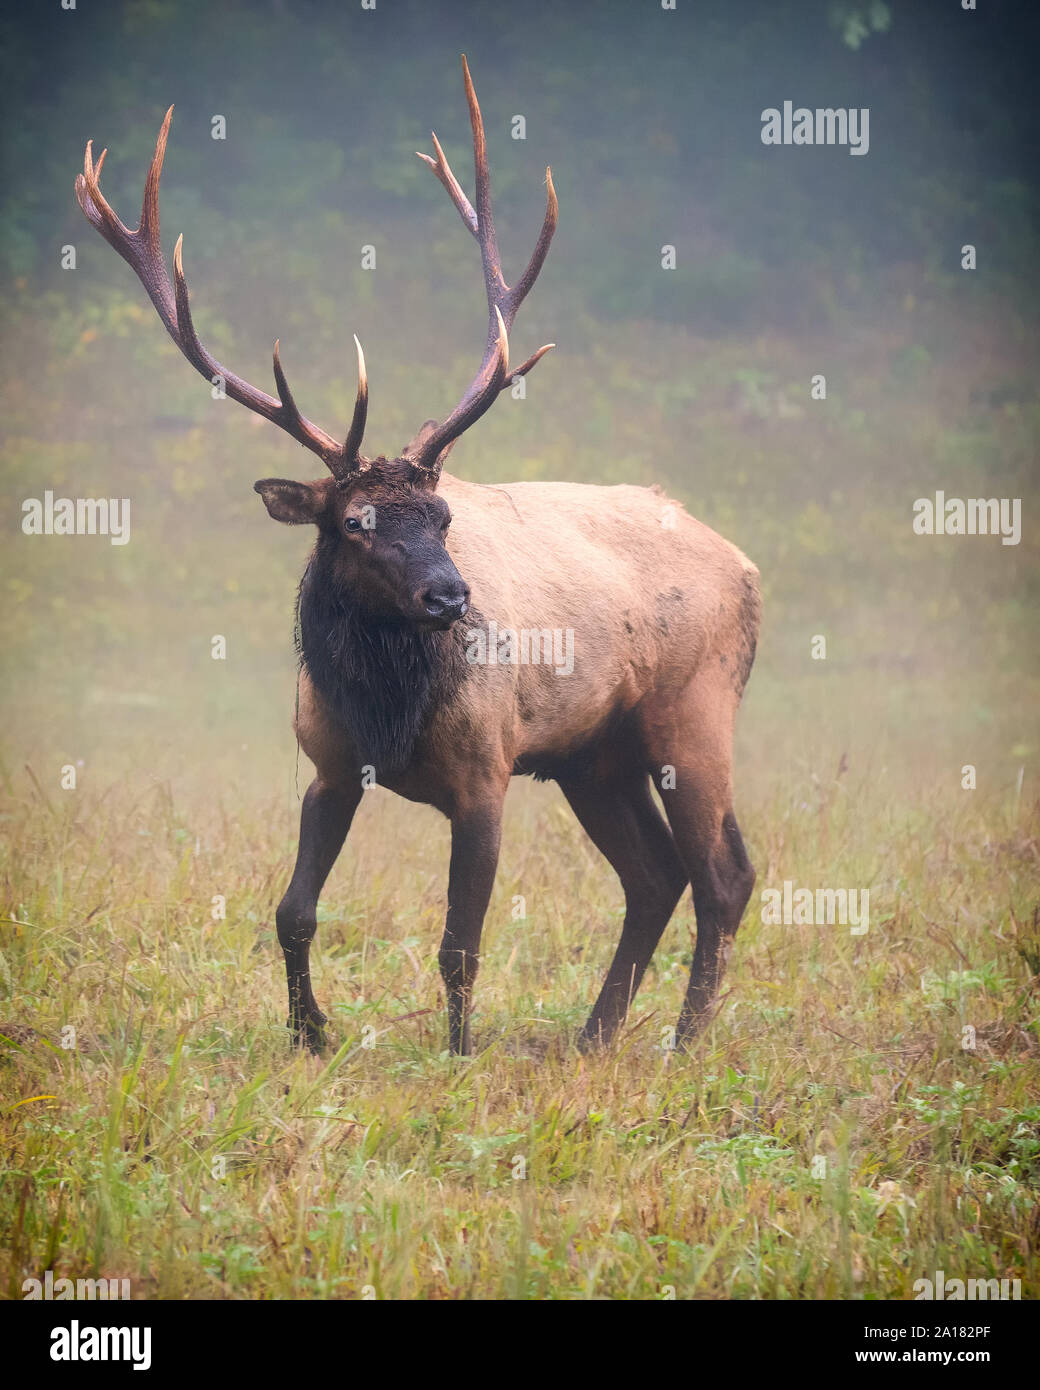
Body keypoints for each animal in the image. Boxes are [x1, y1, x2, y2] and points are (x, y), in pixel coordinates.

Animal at [75, 56, 761, 1056]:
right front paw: (310, 1036)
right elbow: (292, 911)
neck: (386, 708)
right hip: (595, 753)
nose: (451, 597)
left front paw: (458, 1052)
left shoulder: (485, 773)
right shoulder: (327, 765)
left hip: (695, 711)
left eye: (440, 514)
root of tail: (749, 569)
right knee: (656, 875)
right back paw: (595, 1036)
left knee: (723, 875)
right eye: (356, 522)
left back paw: (683, 1042)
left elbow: (459, 942)